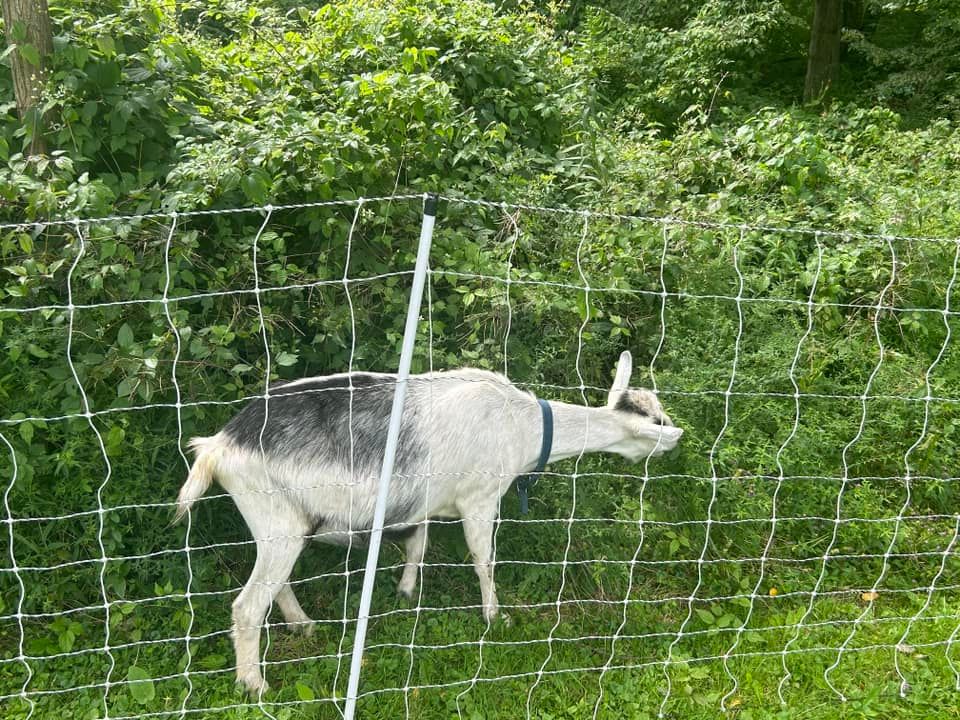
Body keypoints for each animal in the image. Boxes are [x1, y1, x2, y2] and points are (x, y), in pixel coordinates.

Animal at [174, 350, 682, 692]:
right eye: (656, 420)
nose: (676, 438)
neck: (521, 424)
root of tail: (218, 447)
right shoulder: (479, 499)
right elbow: (482, 559)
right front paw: (495, 618)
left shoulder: (423, 503)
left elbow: (418, 544)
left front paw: (405, 592)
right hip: (277, 522)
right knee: (246, 606)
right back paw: (255, 685)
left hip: (280, 526)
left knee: (274, 587)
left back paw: (302, 626)